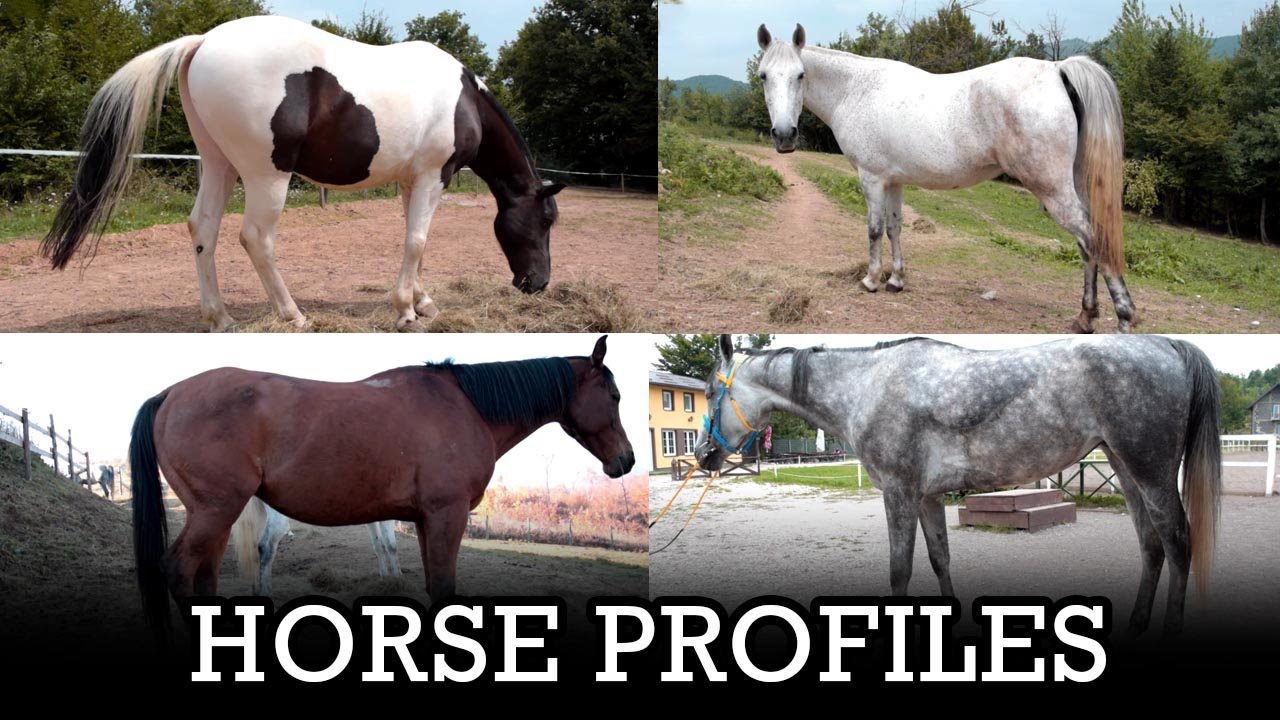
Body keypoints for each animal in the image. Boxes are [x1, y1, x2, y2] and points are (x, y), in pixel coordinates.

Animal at [41, 15, 566, 332]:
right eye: (546, 220)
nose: (537, 283)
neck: (463, 99)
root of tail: (203, 41)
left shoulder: (412, 181)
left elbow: (415, 242)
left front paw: (423, 302)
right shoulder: (434, 176)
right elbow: (416, 242)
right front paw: (406, 312)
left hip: (218, 165)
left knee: (203, 230)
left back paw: (221, 318)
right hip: (265, 176)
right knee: (255, 238)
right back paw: (293, 314)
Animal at [231, 496, 400, 598]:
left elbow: (379, 546)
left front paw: (384, 579)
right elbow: (391, 546)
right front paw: (399, 582)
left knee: (254, 549)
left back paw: (256, 591)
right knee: (265, 547)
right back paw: (267, 593)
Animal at [692, 334, 1221, 636]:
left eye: (714, 390)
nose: (702, 455)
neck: (867, 386)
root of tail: (1167, 345)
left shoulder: (900, 494)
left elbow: (899, 571)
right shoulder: (927, 497)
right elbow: (940, 560)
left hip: (1151, 472)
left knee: (1178, 544)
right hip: (1127, 470)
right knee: (1151, 546)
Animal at [756, 25, 1137, 333]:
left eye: (800, 75)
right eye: (763, 76)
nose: (785, 136)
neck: (857, 89)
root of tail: (1056, 70)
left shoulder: (872, 179)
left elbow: (874, 230)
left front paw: (871, 280)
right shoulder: (893, 182)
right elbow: (895, 228)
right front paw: (896, 280)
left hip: (1054, 191)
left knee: (1092, 239)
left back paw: (1120, 316)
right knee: (1086, 246)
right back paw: (1086, 317)